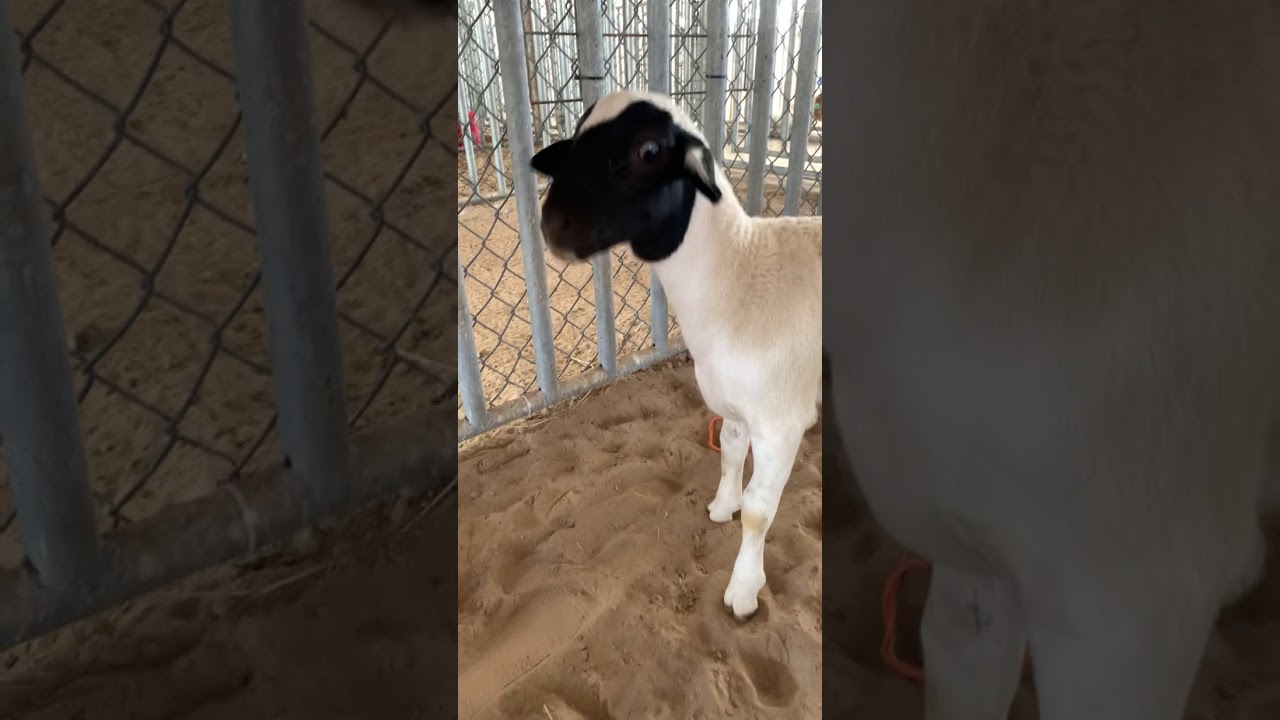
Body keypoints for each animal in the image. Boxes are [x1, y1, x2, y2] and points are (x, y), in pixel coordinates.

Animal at [529, 89, 821, 621]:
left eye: (649, 151)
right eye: (577, 136)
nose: (551, 223)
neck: (740, 276)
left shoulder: (781, 422)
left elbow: (758, 512)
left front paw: (743, 590)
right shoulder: (733, 404)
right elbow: (729, 453)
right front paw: (721, 507)